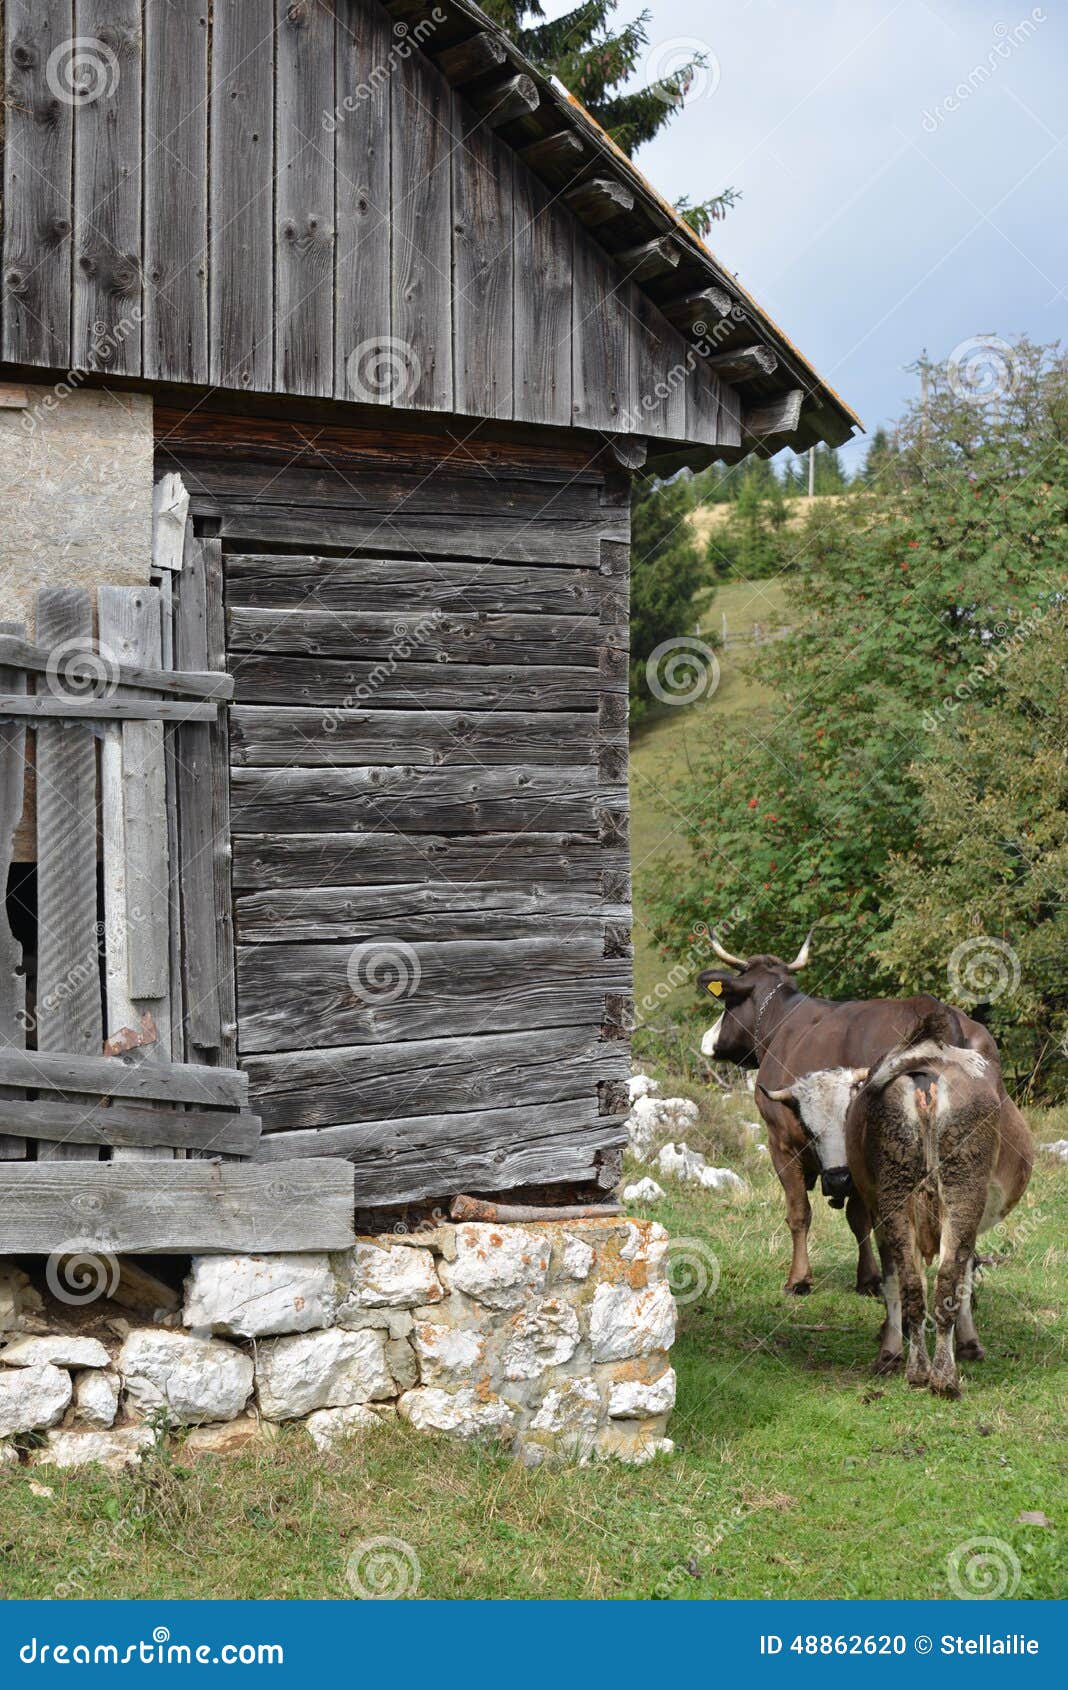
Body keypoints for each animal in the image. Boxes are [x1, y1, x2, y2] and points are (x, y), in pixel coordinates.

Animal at [696, 930, 1032, 1300]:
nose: (708, 1040)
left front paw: (801, 1279)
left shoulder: (781, 1142)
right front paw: (868, 1278)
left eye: (727, 1003)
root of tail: (936, 1011)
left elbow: (804, 1212)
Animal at [763, 1008, 1033, 1395]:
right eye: (808, 1129)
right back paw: (941, 1376)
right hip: (959, 1196)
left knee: (909, 1282)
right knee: (943, 1280)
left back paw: (909, 1366)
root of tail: (926, 1071)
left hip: (899, 1203)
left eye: (844, 1118)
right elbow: (963, 1276)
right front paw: (969, 1343)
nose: (838, 1179)